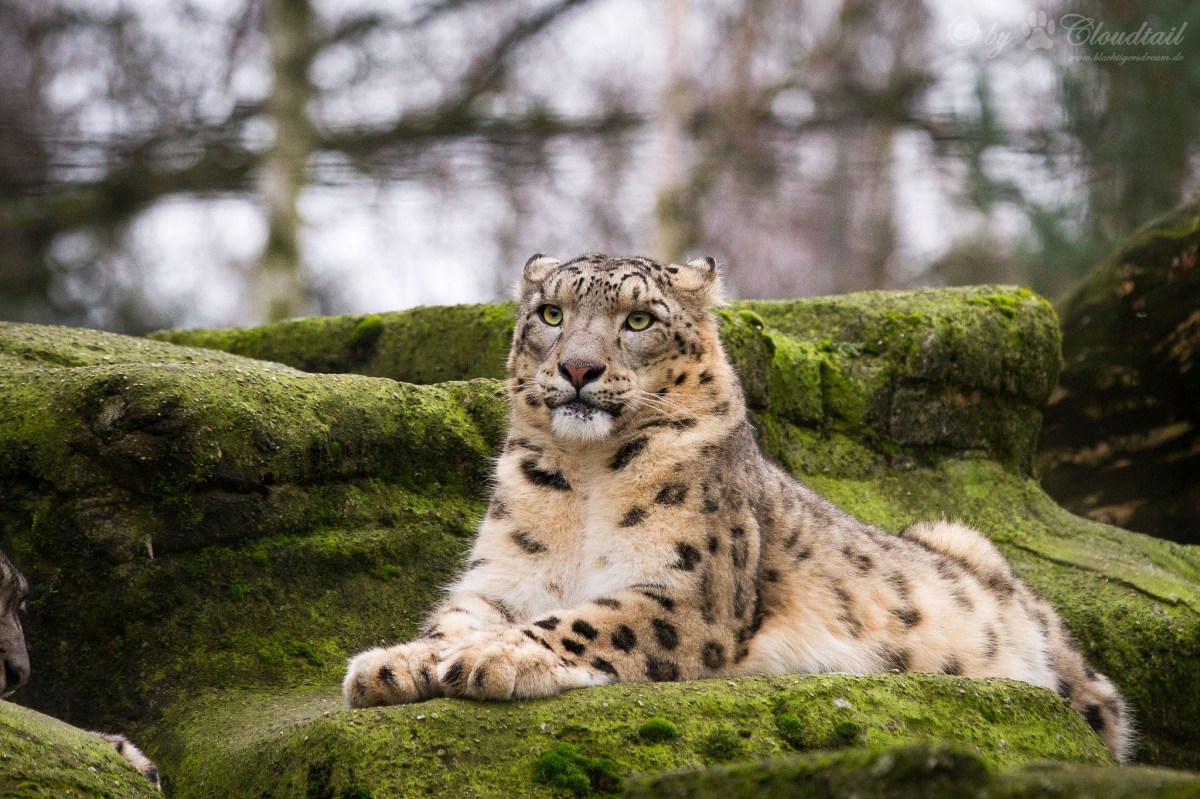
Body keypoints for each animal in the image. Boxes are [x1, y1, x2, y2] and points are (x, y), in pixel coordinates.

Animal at [344, 253, 1132, 762]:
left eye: (638, 319)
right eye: (550, 313)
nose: (577, 368)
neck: (587, 478)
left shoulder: (691, 589)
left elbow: (584, 621)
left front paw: (489, 656)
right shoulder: (501, 577)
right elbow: (457, 618)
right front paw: (394, 663)